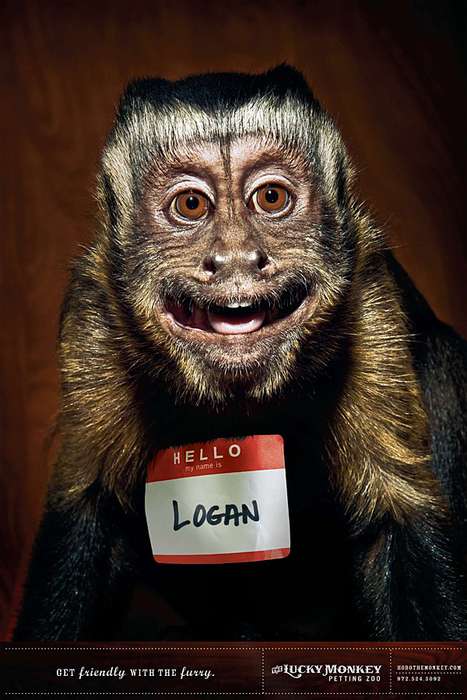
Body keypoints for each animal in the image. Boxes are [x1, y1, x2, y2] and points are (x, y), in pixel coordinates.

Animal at [12, 65, 467, 642]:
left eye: (271, 198)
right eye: (191, 205)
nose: (235, 259)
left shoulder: (369, 299)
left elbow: (399, 520)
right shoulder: (93, 312)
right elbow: (87, 511)